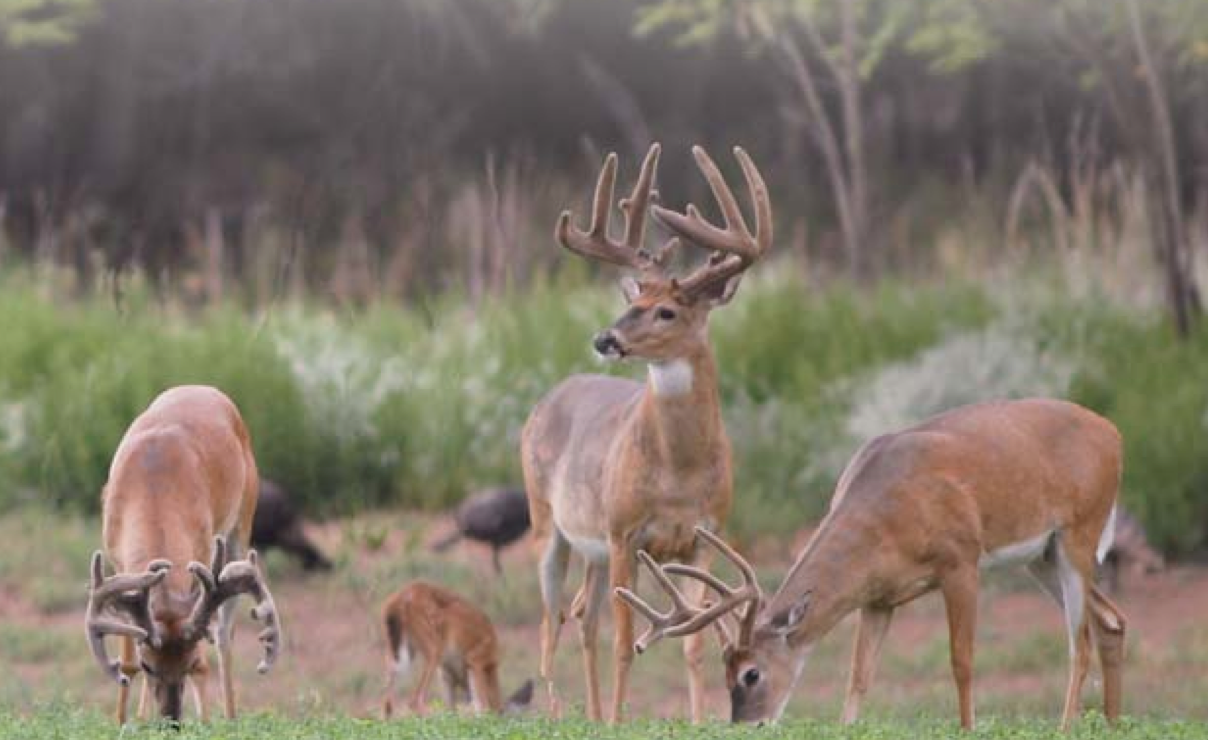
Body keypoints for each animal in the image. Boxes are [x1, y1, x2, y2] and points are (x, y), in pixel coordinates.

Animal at [84, 385, 282, 724]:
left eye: (186, 664)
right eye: (149, 665)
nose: (171, 721)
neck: (153, 489)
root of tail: (206, 387)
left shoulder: (202, 548)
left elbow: (205, 659)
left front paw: (205, 723)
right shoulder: (116, 560)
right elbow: (127, 661)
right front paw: (122, 722)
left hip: (242, 523)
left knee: (225, 636)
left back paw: (230, 717)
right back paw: (142, 717)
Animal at [381, 581, 534, 717]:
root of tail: (399, 598)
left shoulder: (446, 674)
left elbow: (453, 709)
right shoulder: (475, 660)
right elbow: (482, 706)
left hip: (401, 648)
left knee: (387, 700)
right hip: (434, 647)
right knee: (415, 699)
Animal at [520, 142, 771, 722]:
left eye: (667, 311)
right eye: (631, 303)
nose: (605, 338)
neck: (679, 473)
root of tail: (548, 399)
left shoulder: (707, 533)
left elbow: (694, 642)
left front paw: (700, 720)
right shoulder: (623, 531)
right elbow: (624, 643)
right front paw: (617, 721)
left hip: (591, 547)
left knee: (582, 615)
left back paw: (590, 716)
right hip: (548, 522)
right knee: (551, 624)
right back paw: (562, 713)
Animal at [617, 398, 1128, 730]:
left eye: (752, 674)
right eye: (724, 675)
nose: (746, 725)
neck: (888, 508)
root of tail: (1114, 432)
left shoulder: (960, 559)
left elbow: (961, 660)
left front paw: (967, 727)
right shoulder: (879, 595)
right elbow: (859, 675)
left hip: (1079, 533)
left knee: (1079, 642)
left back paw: (1066, 727)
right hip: (1041, 557)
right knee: (1111, 621)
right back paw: (1111, 721)